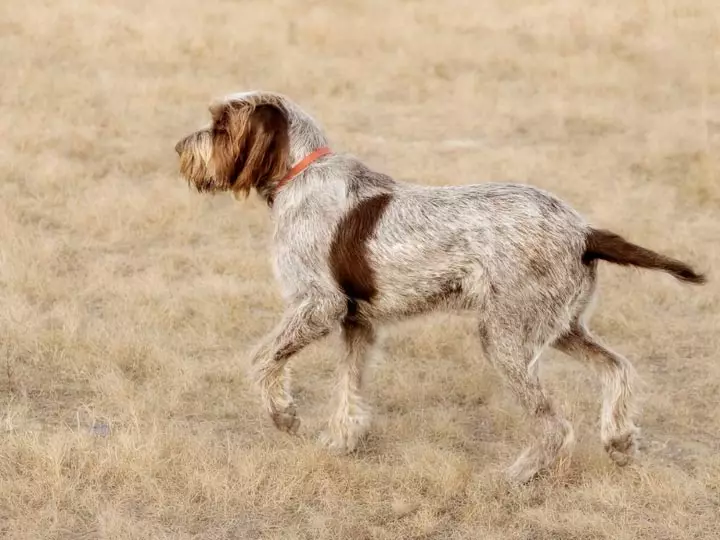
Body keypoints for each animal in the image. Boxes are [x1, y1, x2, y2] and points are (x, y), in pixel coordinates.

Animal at [174, 90, 704, 484]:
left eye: (220, 126)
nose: (180, 149)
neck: (301, 174)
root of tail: (584, 231)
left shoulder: (318, 306)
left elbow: (262, 359)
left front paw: (284, 415)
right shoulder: (356, 323)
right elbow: (349, 387)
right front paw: (342, 441)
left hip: (505, 337)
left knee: (555, 424)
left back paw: (518, 475)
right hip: (559, 326)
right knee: (618, 368)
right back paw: (619, 441)